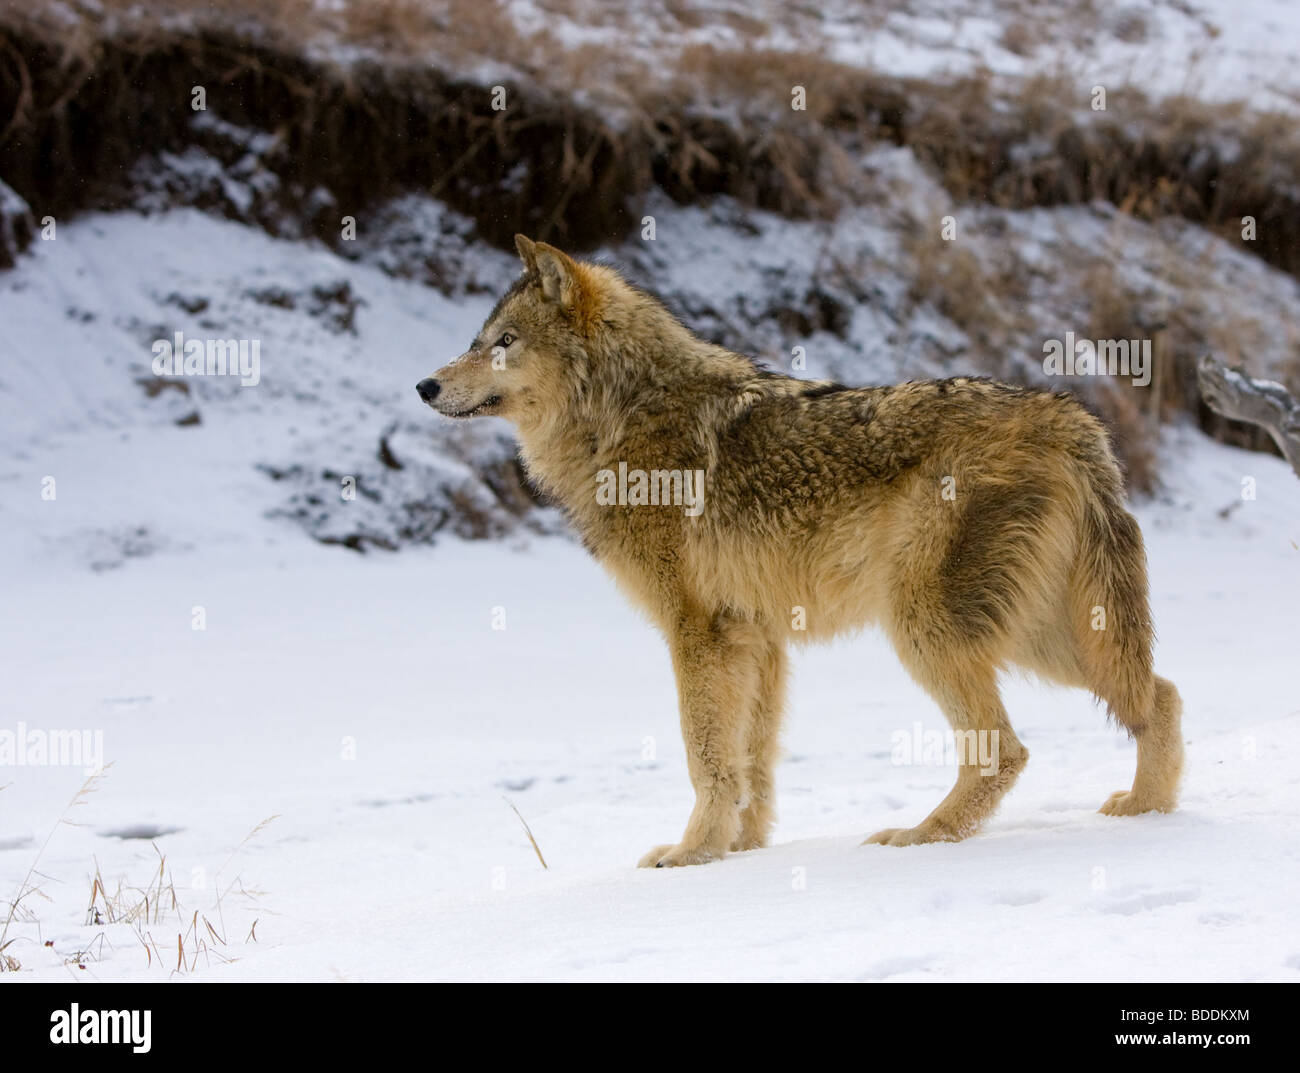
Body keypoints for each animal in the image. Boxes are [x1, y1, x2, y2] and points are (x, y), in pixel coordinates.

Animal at [416, 235, 1184, 867]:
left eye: (503, 341)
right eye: (478, 339)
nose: (424, 384)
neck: (621, 419)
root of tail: (1071, 419)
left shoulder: (697, 631)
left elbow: (706, 757)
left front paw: (691, 855)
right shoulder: (756, 636)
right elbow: (751, 765)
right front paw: (739, 851)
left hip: (930, 629)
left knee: (1007, 748)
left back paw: (921, 836)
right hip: (1042, 634)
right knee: (1161, 693)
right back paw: (1147, 813)